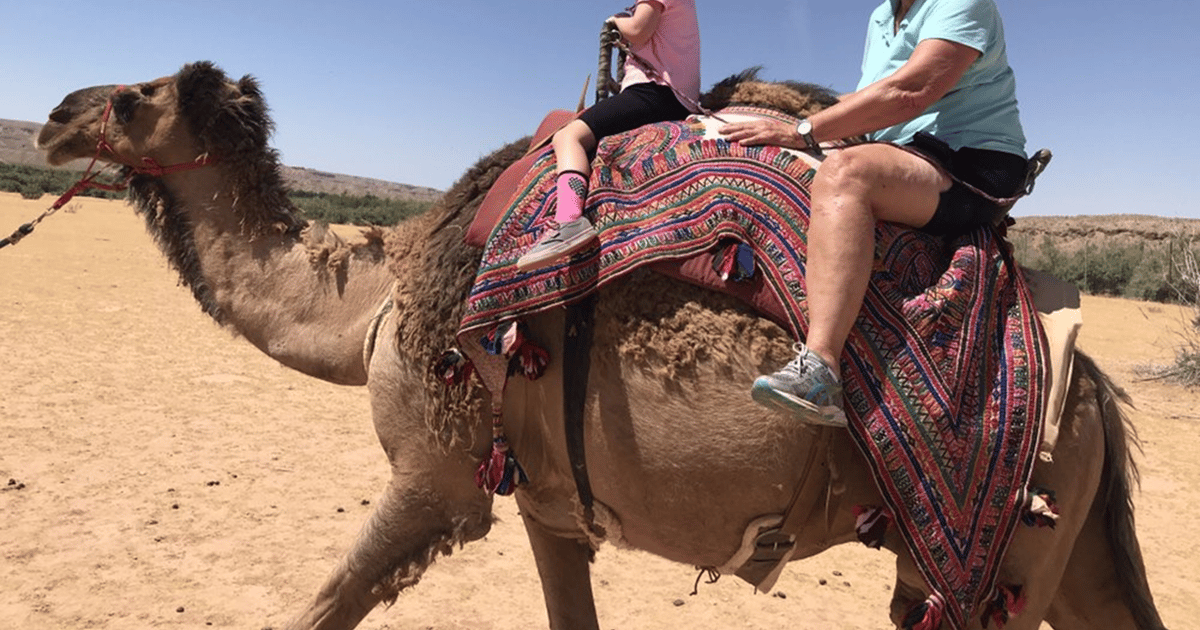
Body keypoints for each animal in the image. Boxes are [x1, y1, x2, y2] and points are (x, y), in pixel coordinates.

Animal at [34, 61, 1167, 630]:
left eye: (133, 95)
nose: (50, 118)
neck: (373, 305)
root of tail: (1088, 384)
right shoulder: (548, 503)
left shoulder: (434, 472)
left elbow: (319, 605)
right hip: (1045, 544)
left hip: (995, 548)